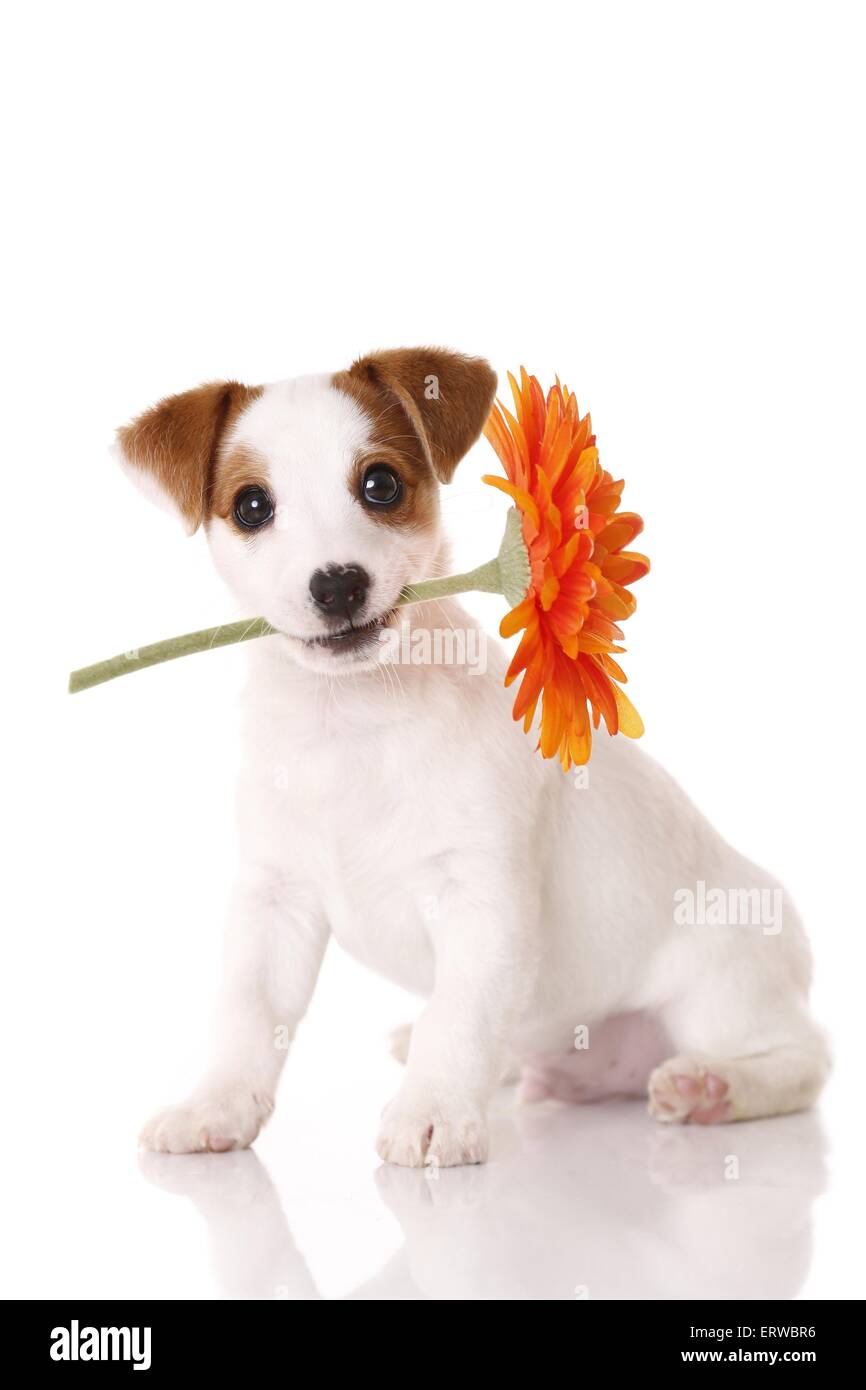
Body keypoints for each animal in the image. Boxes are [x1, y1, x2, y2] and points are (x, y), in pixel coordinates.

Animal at [118, 344, 828, 1162]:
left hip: (724, 991)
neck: (351, 721)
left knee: (806, 1057)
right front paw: (217, 1103)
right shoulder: (275, 901)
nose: (338, 585)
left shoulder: (483, 902)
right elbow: (246, 1012)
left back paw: (715, 1088)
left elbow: (458, 1016)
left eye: (381, 484)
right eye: (251, 507)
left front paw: (432, 1109)